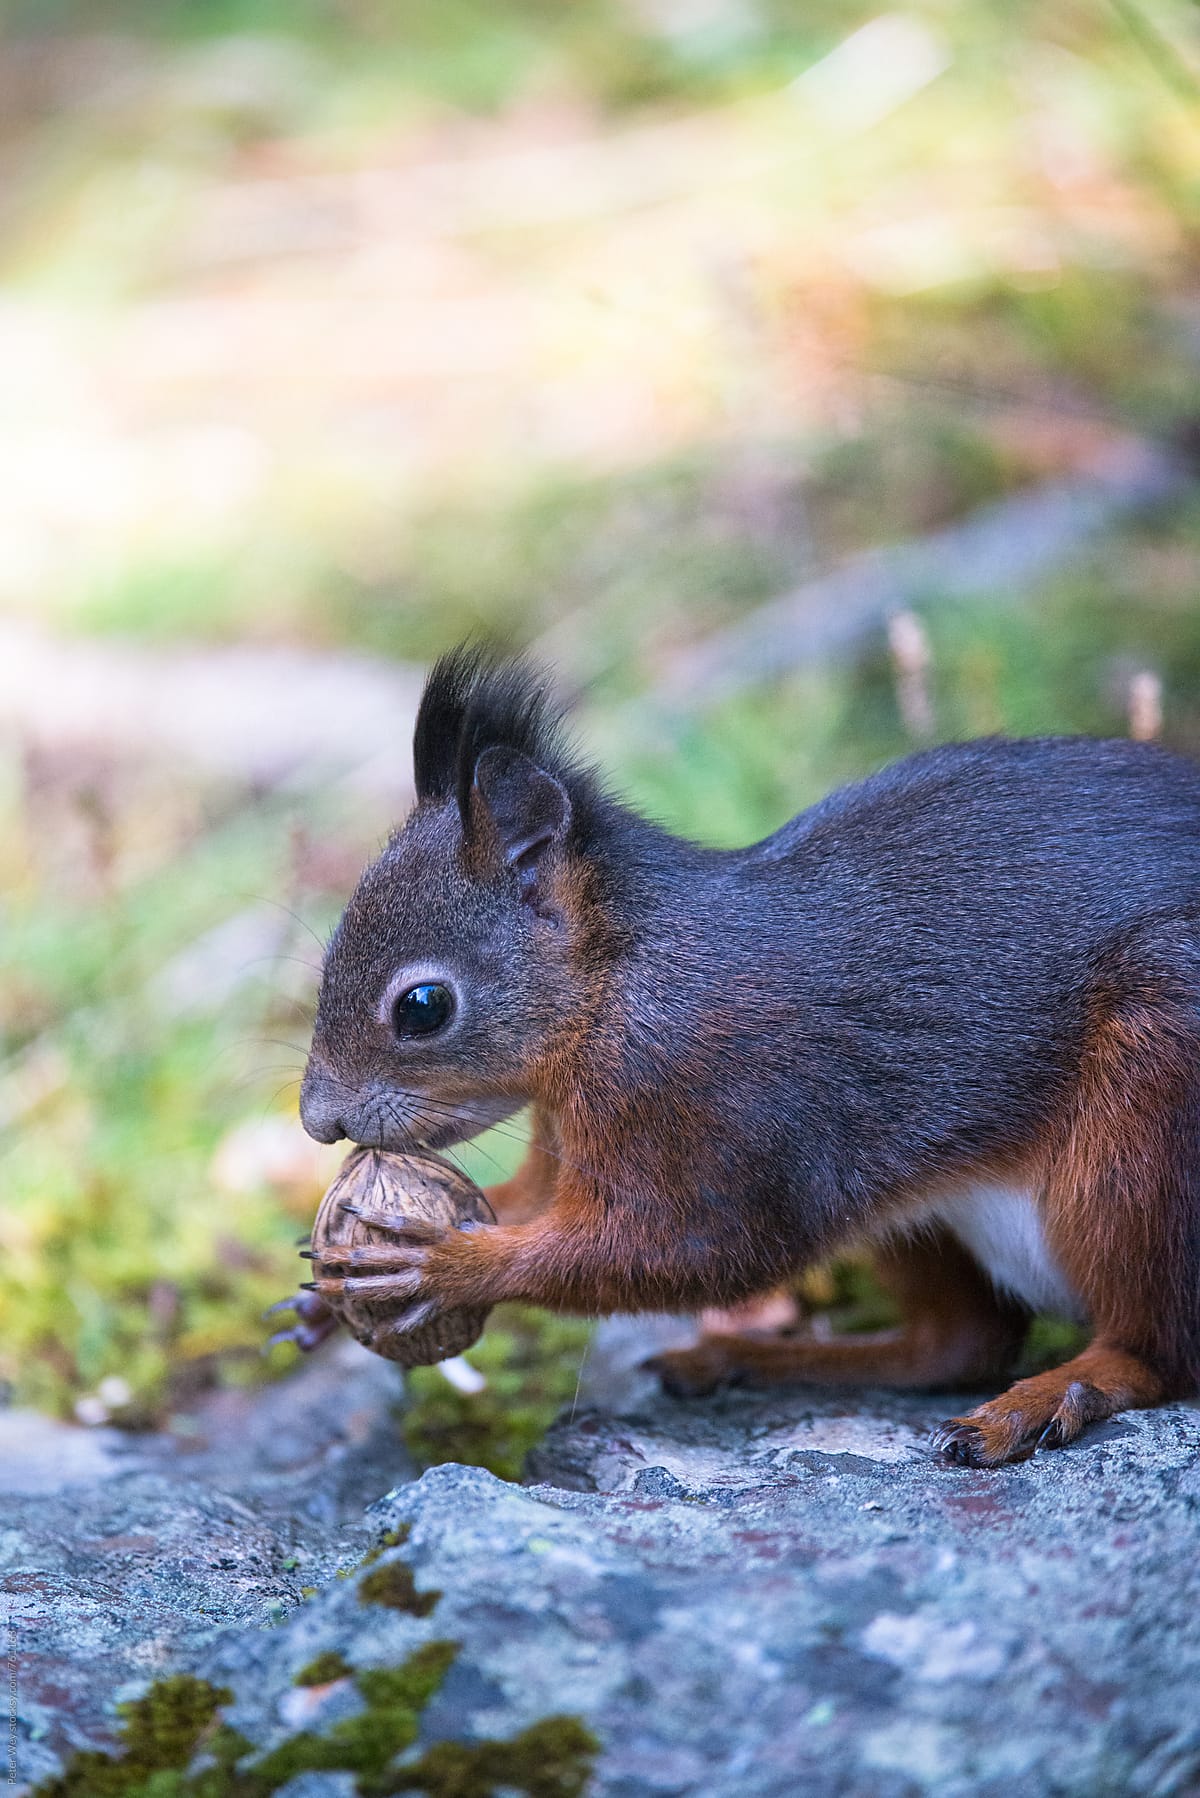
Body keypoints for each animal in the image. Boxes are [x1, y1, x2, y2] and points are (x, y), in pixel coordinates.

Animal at [297, 644, 1200, 1466]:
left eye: (422, 1007)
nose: (317, 1122)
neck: (618, 983)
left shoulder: (715, 1104)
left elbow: (695, 1249)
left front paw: (445, 1264)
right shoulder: (569, 1124)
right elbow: (529, 1200)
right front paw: (319, 1301)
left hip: (1153, 1109)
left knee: (1158, 1350)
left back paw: (1054, 1393)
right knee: (960, 1345)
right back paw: (755, 1357)